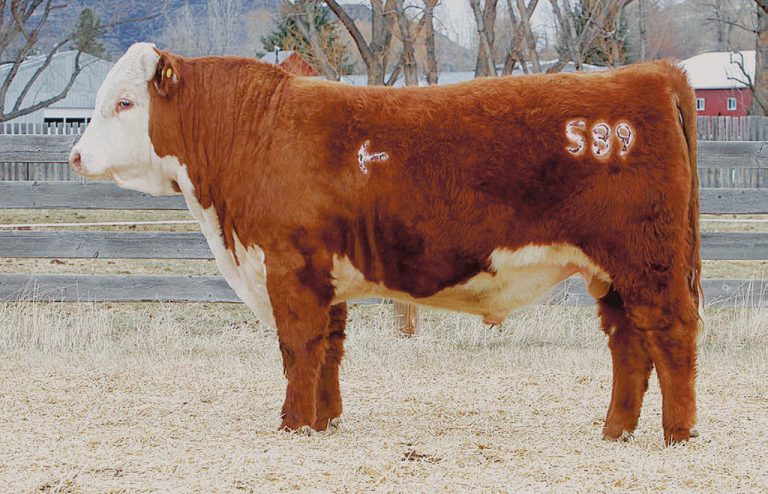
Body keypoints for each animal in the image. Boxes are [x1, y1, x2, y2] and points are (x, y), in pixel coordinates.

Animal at [70, 43, 702, 445]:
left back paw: (678, 434)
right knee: (627, 345)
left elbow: (298, 346)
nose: (75, 156)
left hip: (650, 263)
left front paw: (291, 424)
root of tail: (648, 73)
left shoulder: (290, 266)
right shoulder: (323, 272)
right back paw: (615, 432)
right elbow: (329, 347)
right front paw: (324, 422)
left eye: (124, 102)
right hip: (613, 274)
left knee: (671, 337)